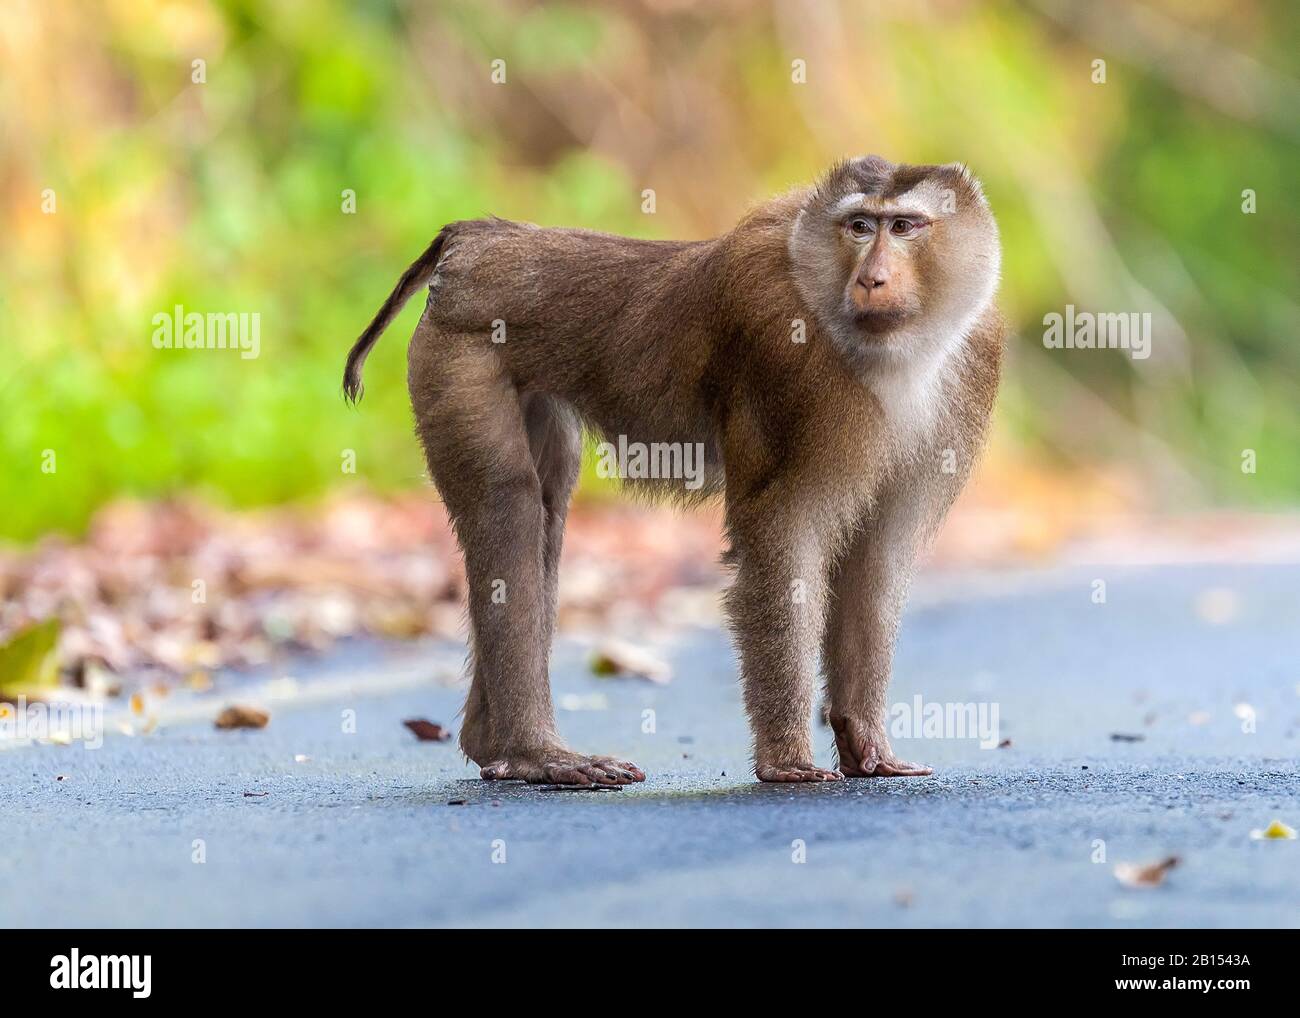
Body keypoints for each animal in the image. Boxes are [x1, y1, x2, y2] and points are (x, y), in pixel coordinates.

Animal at [343, 155, 1004, 785]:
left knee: (546, 503)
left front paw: (865, 743)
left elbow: (879, 556)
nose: (872, 278)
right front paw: (786, 759)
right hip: (460, 355)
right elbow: (781, 536)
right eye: (861, 225)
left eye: (906, 226)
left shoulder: (972, 361)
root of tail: (482, 239)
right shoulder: (781, 351)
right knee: (511, 504)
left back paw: (492, 745)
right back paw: (535, 753)